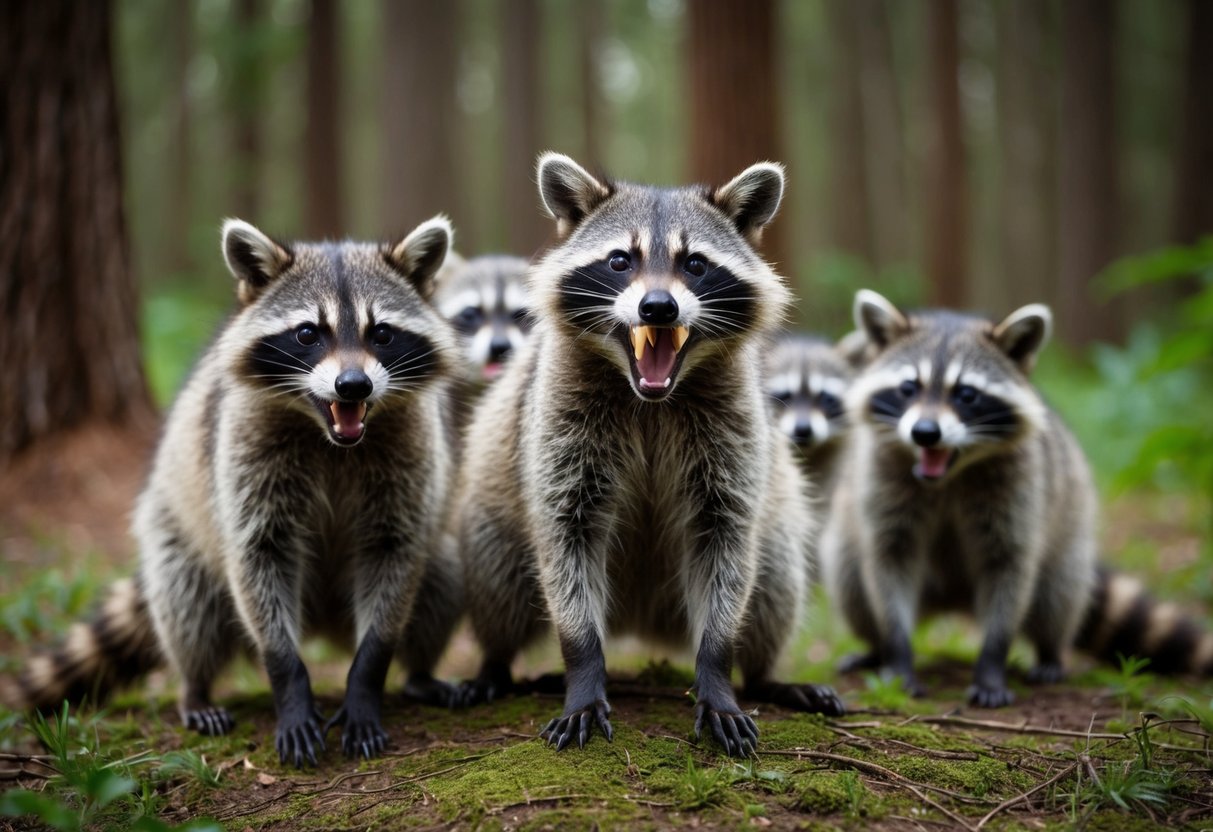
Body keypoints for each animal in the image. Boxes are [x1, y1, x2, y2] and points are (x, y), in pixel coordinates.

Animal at [1, 217, 463, 764]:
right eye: (308, 333)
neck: (331, 438)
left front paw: (365, 681)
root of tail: (323, 626)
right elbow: (257, 557)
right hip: (175, 531)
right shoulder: (244, 453)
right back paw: (195, 688)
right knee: (187, 605)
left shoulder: (409, 460)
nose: (353, 386)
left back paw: (419, 674)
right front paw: (289, 683)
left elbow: (395, 555)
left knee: (444, 570)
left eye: (383, 333)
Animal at [454, 153, 843, 758]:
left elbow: (727, 542)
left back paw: (763, 676)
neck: (651, 400)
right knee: (498, 576)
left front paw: (718, 673)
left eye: (695, 264)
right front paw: (582, 671)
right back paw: (496, 664)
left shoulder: (734, 432)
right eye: (620, 260)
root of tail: (638, 619)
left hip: (769, 529)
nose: (658, 307)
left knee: (775, 574)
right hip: (495, 514)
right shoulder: (556, 423)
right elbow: (565, 537)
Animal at [821, 289, 1213, 707]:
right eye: (909, 387)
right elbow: (888, 563)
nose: (925, 433)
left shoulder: (1020, 489)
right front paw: (897, 652)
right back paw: (873, 647)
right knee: (849, 577)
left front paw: (992, 663)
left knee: (1059, 592)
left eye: (966, 394)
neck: (948, 476)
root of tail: (953, 600)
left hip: (1069, 526)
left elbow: (1010, 569)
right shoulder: (881, 484)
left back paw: (1050, 651)